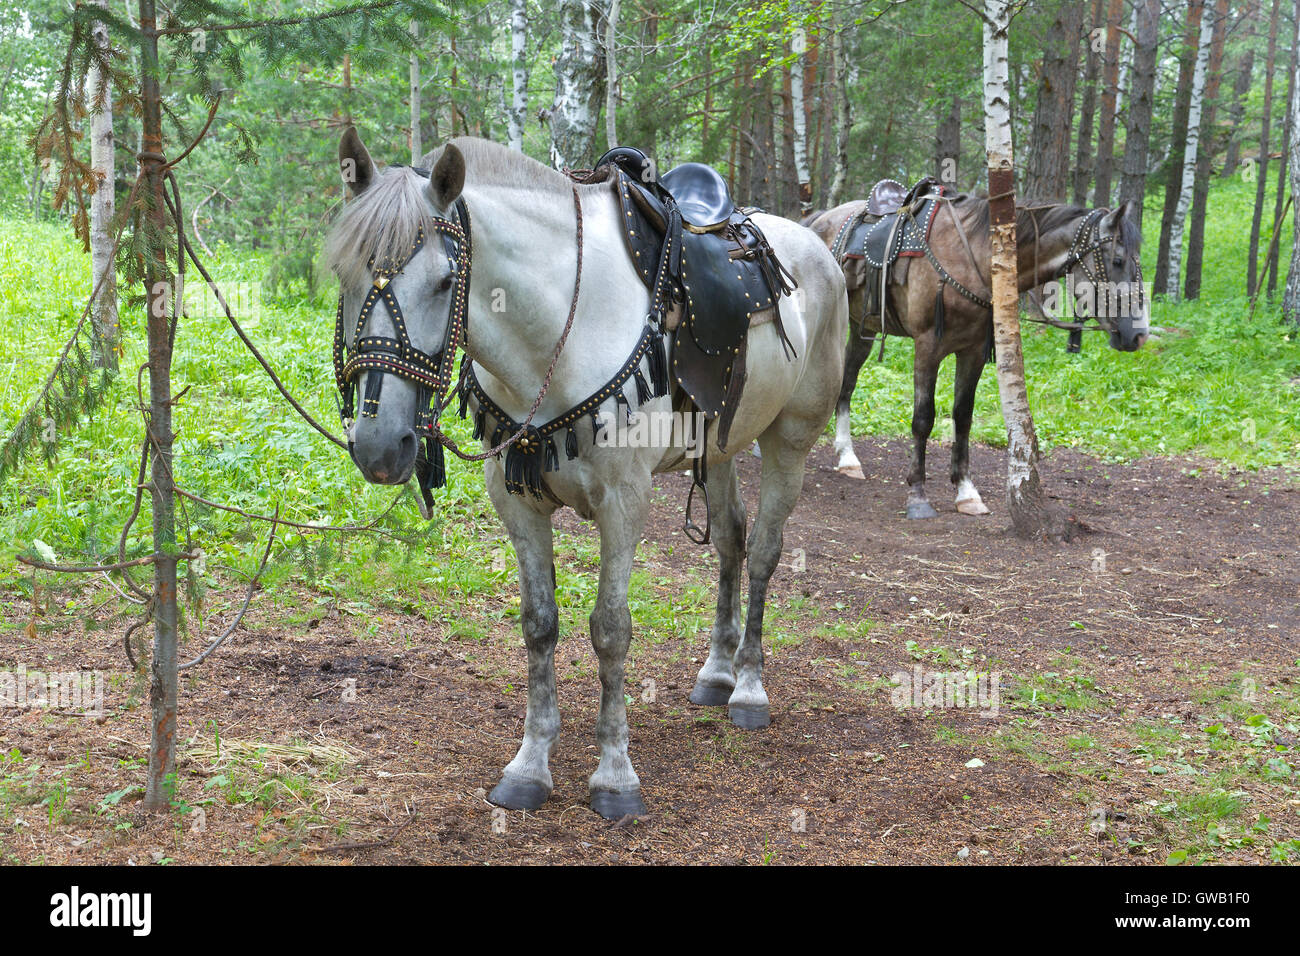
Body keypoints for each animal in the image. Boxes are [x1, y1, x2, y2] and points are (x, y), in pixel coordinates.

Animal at [323, 129, 847, 819]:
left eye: (444, 280)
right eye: (345, 276)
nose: (381, 445)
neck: (554, 335)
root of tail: (817, 246)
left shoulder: (625, 501)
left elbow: (610, 631)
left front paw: (615, 774)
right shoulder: (517, 500)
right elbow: (539, 624)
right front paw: (530, 763)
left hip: (789, 441)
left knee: (762, 551)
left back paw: (749, 688)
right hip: (721, 445)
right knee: (732, 541)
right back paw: (718, 671)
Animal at [805, 195, 1149, 520]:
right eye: (1117, 260)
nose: (1138, 334)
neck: (974, 258)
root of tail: (817, 219)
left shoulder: (972, 353)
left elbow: (963, 417)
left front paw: (966, 492)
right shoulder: (927, 347)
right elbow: (923, 419)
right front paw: (918, 495)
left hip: (861, 327)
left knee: (847, 385)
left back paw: (848, 458)